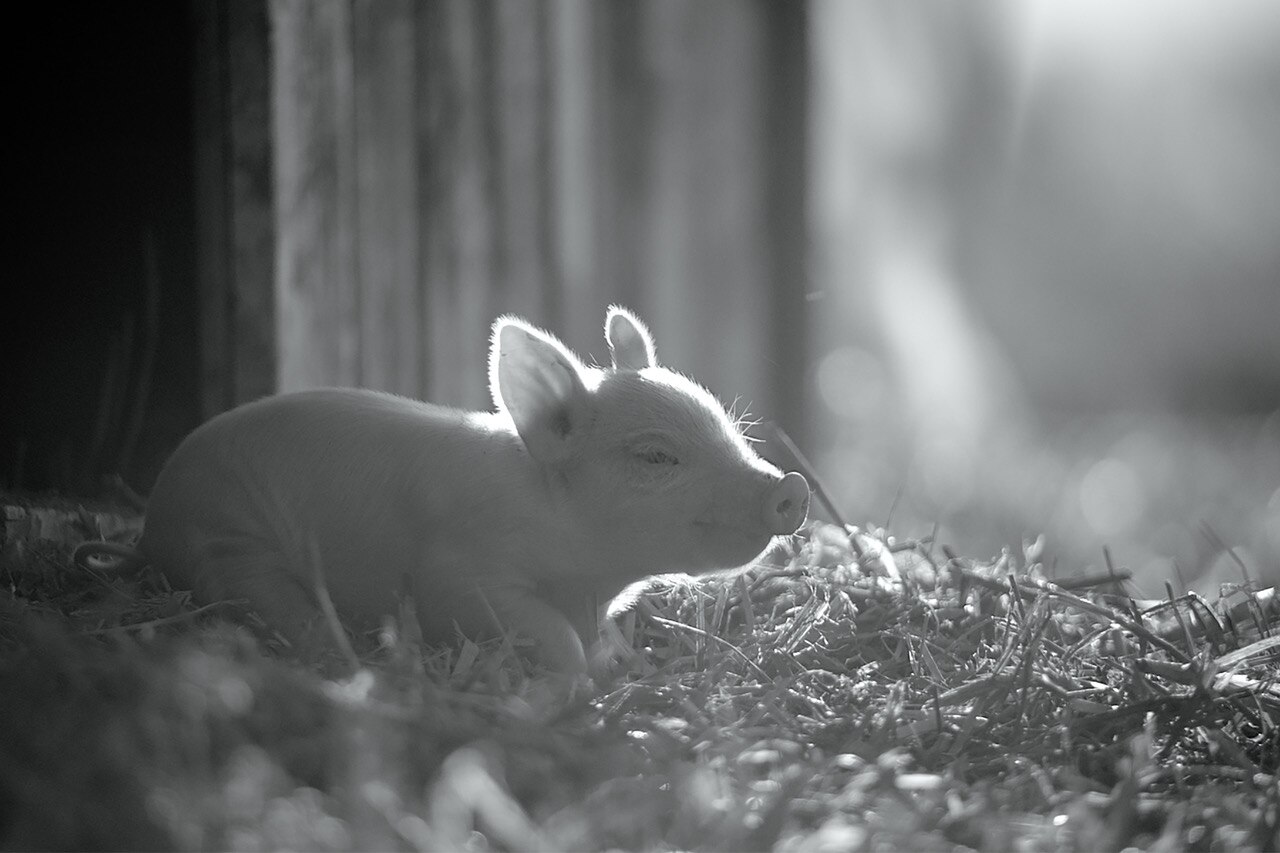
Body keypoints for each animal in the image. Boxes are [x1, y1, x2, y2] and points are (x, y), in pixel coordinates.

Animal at [138, 307, 810, 673]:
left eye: (727, 427)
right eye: (656, 456)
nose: (791, 485)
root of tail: (154, 513)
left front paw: (618, 665)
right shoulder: (460, 576)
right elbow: (550, 635)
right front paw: (577, 682)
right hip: (228, 539)